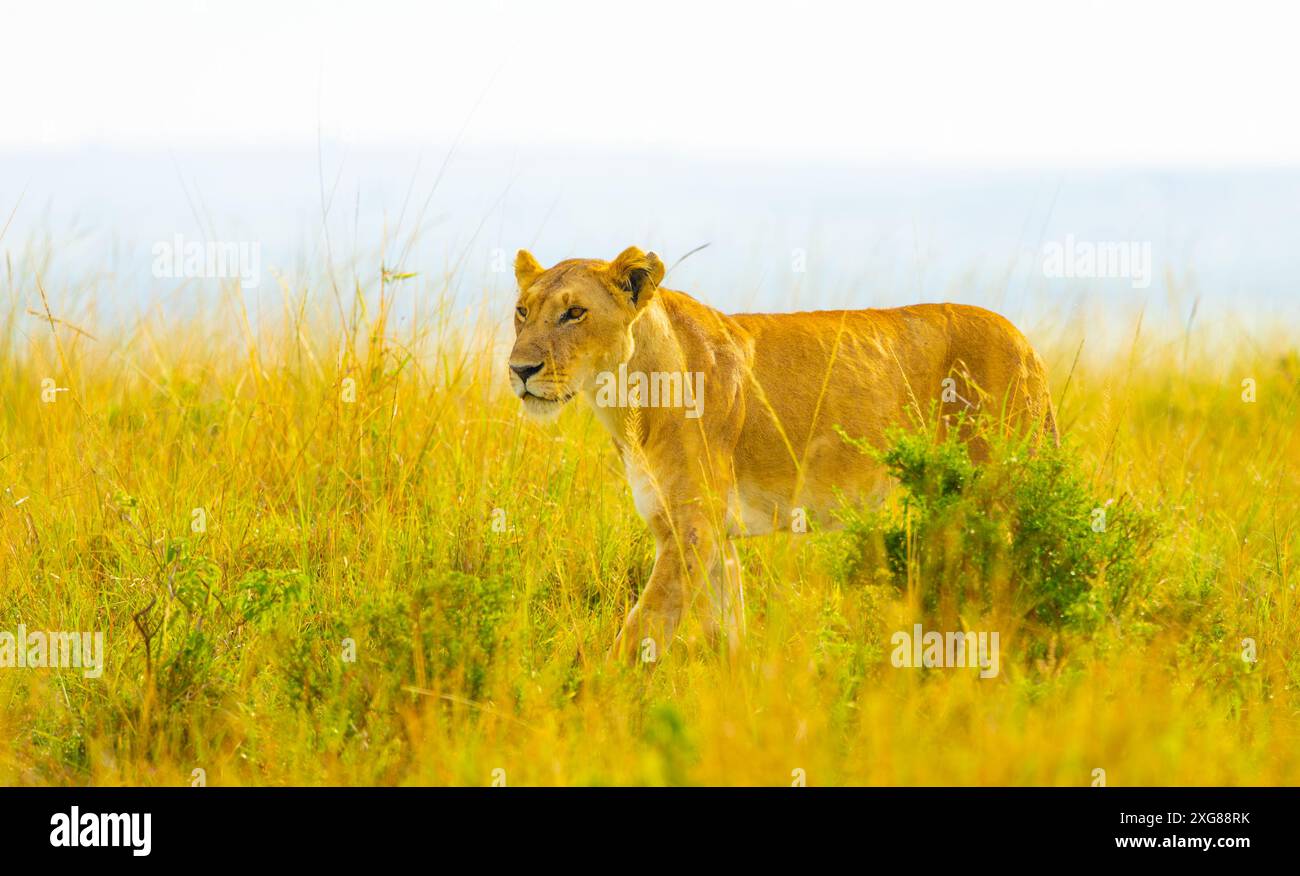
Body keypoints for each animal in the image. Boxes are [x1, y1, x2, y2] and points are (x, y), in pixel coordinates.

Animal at [508, 246, 1057, 662]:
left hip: (995, 497)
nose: (519, 369)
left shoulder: (692, 530)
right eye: (522, 311)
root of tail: (1026, 341)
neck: (624, 403)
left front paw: (597, 699)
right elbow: (725, 635)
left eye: (575, 312)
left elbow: (640, 632)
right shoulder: (711, 539)